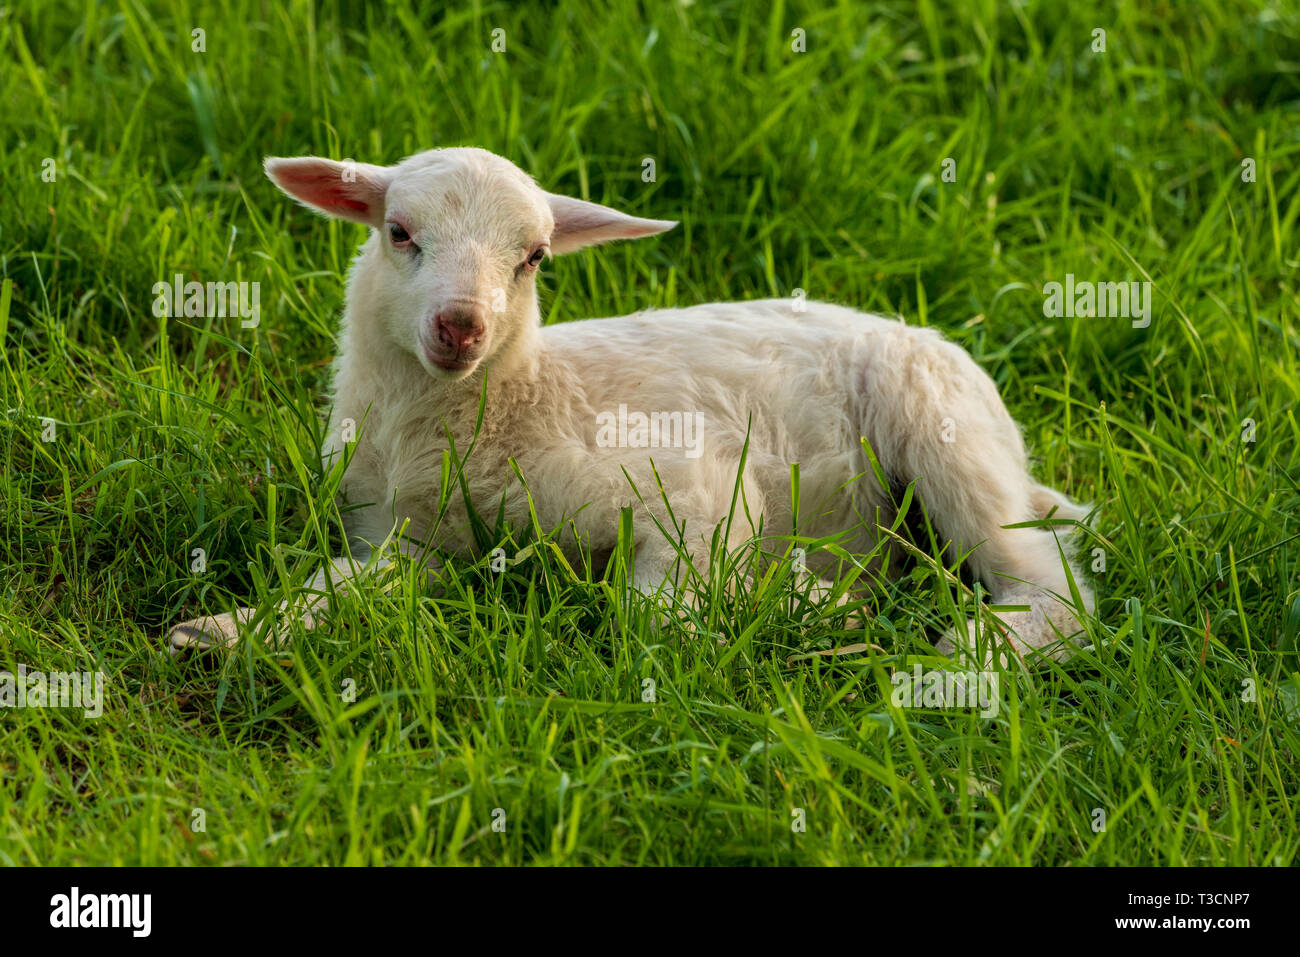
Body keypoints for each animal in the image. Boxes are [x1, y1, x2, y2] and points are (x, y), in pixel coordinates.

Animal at [167, 146, 1094, 665]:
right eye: (399, 232)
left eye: (534, 257)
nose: (461, 326)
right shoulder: (406, 539)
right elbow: (338, 585)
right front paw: (223, 630)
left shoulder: (697, 483)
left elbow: (655, 617)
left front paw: (784, 607)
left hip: (942, 426)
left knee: (1048, 581)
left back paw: (966, 653)